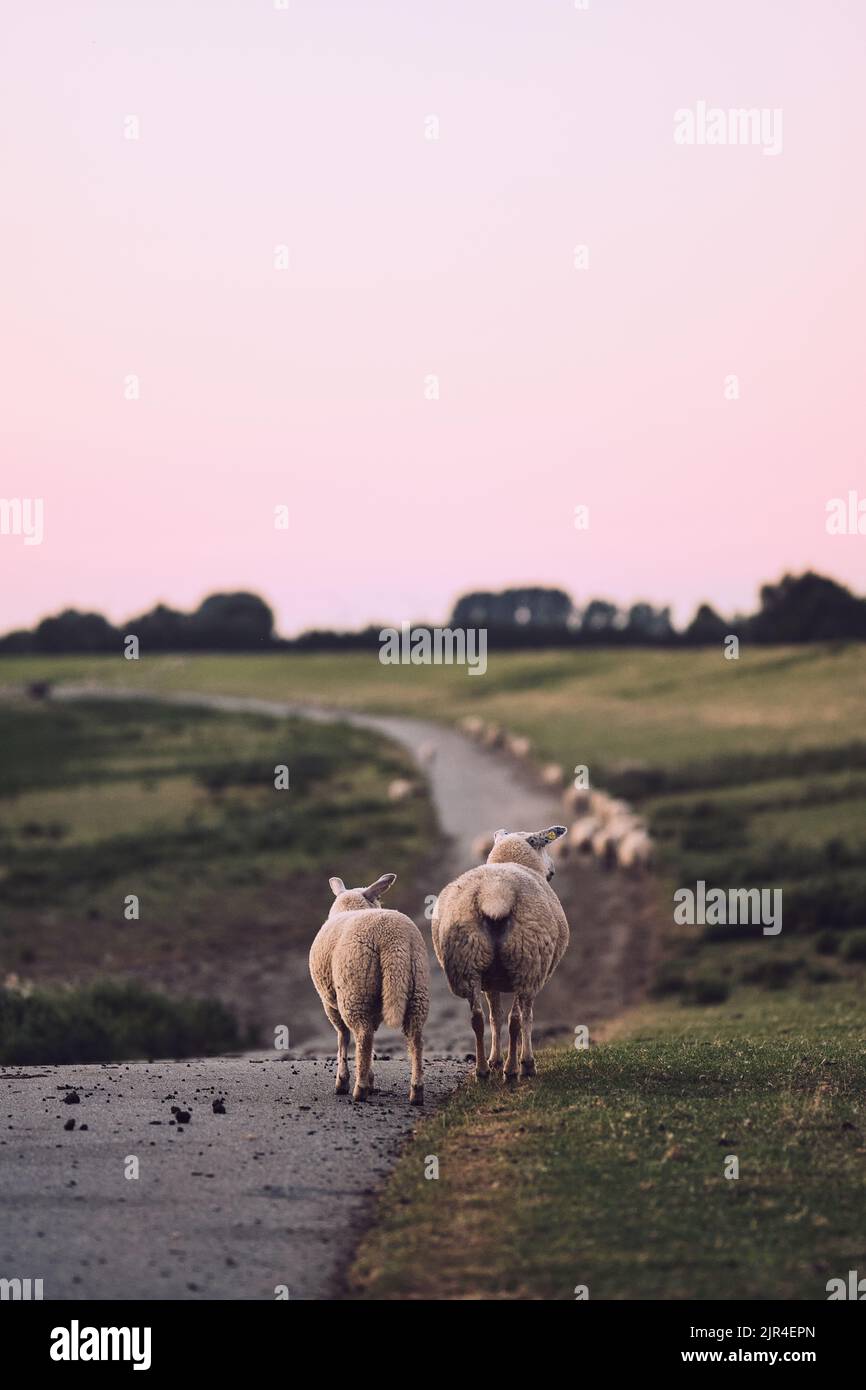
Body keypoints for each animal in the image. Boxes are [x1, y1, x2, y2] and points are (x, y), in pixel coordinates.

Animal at [309, 873, 429, 1104]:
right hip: (416, 986)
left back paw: (360, 1089)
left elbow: (343, 1037)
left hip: (355, 989)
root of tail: (392, 938)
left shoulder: (330, 1003)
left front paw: (343, 1080)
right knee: (415, 1037)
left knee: (363, 1036)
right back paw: (416, 1091)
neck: (349, 906)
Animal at [432, 826, 569, 1081]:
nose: (552, 870)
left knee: (477, 1018)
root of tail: (495, 893)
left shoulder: (490, 981)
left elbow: (495, 1017)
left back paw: (482, 1071)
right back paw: (513, 1070)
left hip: (469, 961)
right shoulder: (533, 977)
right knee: (516, 1019)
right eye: (542, 845)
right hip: (526, 960)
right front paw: (527, 1063)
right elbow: (526, 1017)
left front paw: (494, 1060)